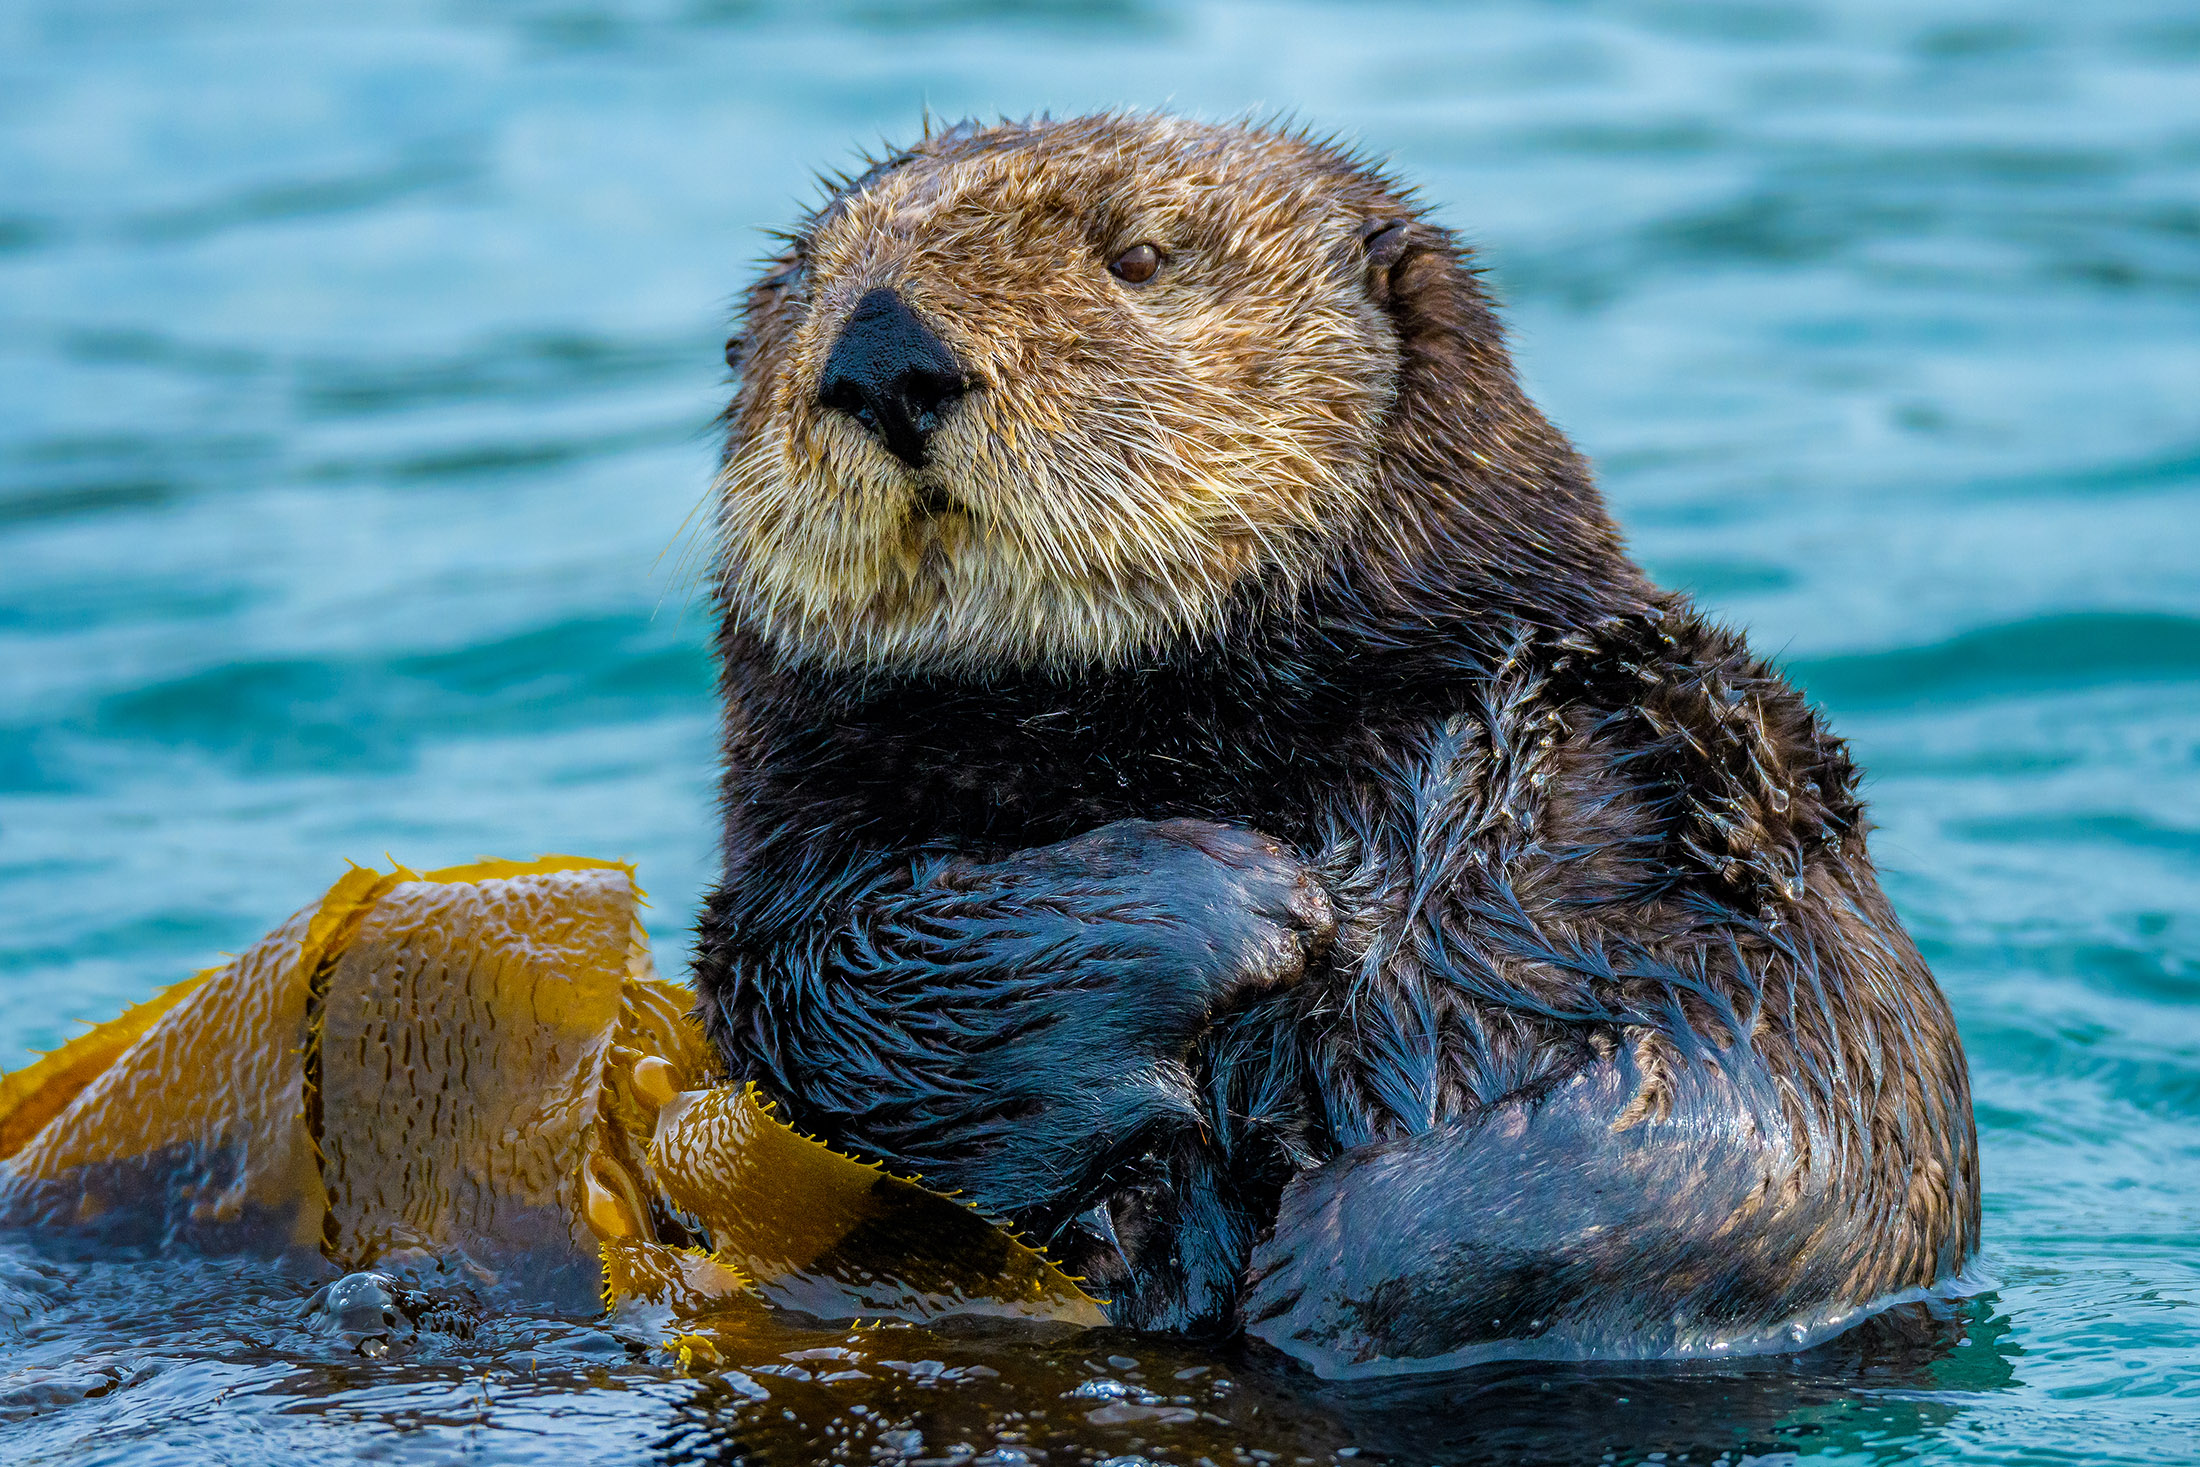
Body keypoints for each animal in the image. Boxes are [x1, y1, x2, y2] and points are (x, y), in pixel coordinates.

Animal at [693, 113, 1979, 1377]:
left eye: (1137, 258)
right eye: (811, 285)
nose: (881, 355)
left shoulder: (1696, 781)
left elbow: (1802, 1099)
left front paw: (1339, 1259)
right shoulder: (801, 892)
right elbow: (842, 1008)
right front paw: (1252, 899)